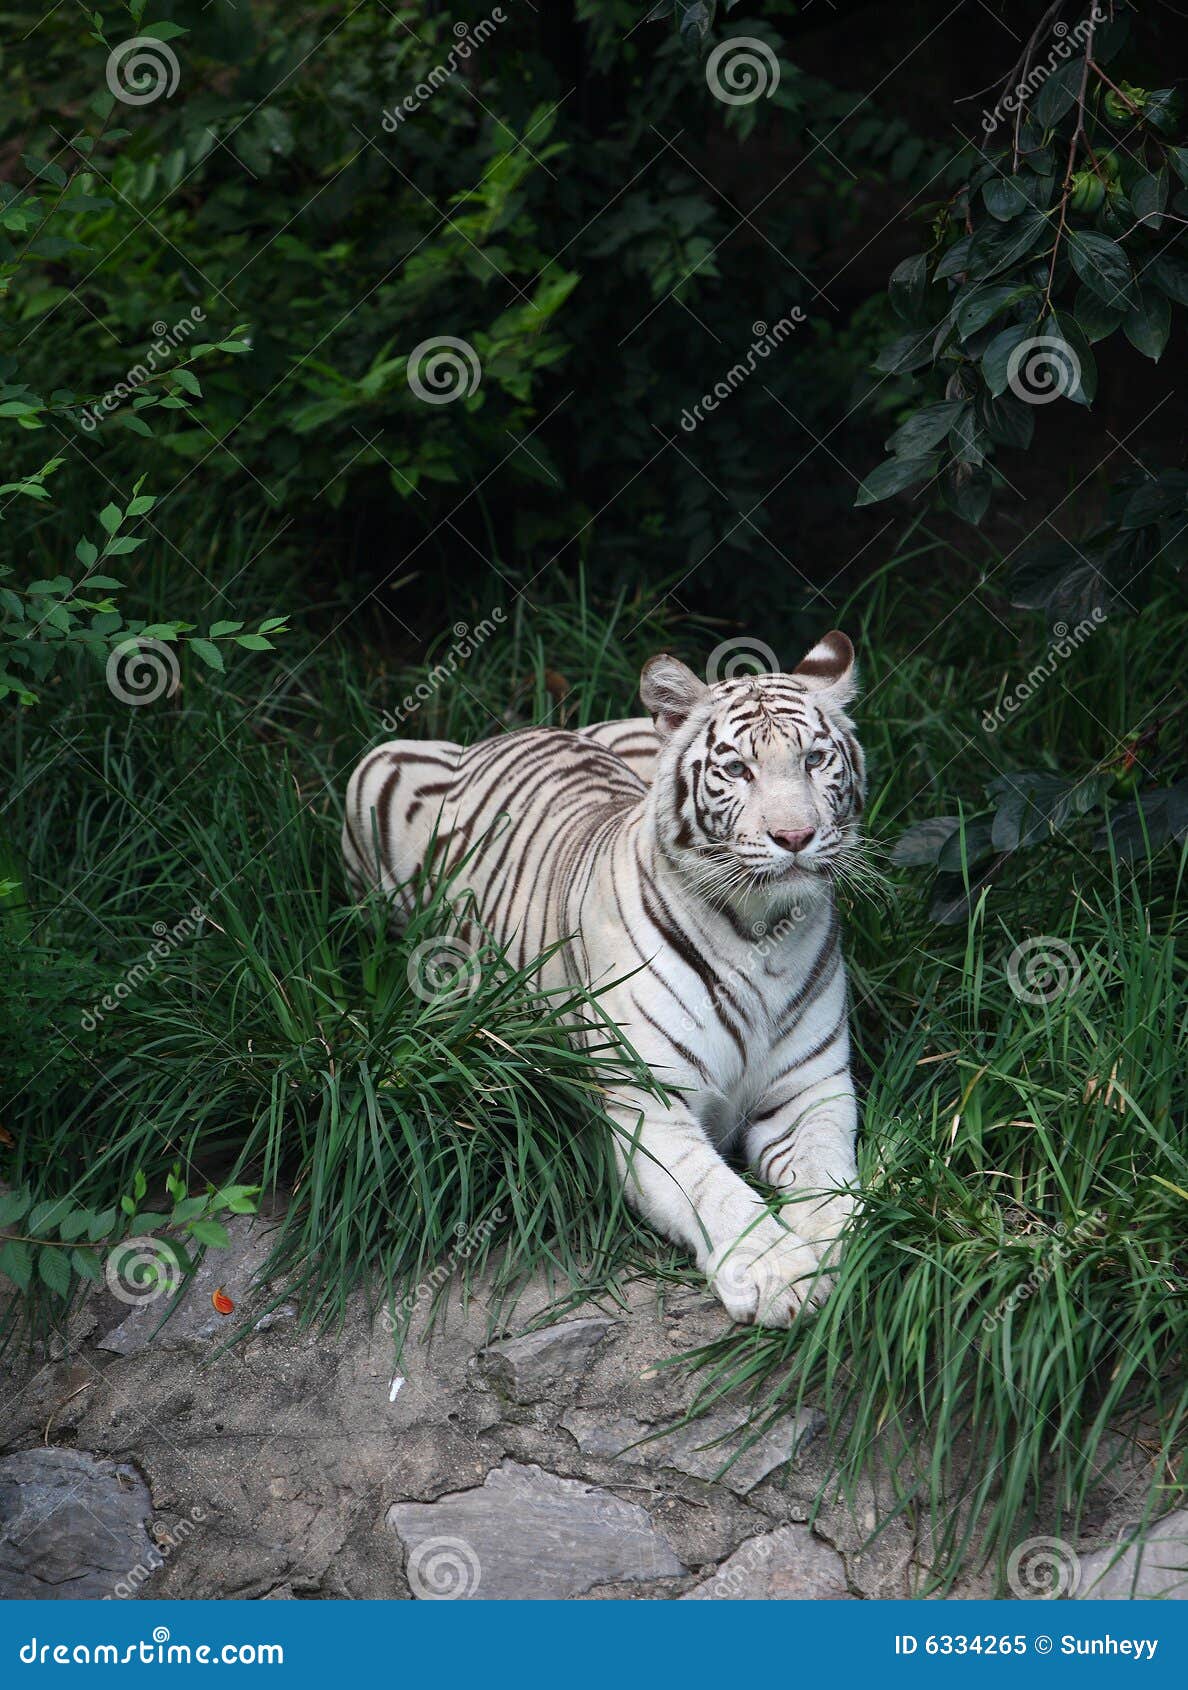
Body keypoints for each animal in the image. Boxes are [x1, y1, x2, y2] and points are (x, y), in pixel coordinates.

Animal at [342, 631, 864, 1326]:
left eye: (815, 759)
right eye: (736, 770)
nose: (796, 835)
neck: (761, 933)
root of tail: (523, 729)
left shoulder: (812, 1091)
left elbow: (829, 1179)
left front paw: (848, 1252)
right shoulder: (649, 1107)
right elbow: (717, 1192)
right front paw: (782, 1274)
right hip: (374, 774)